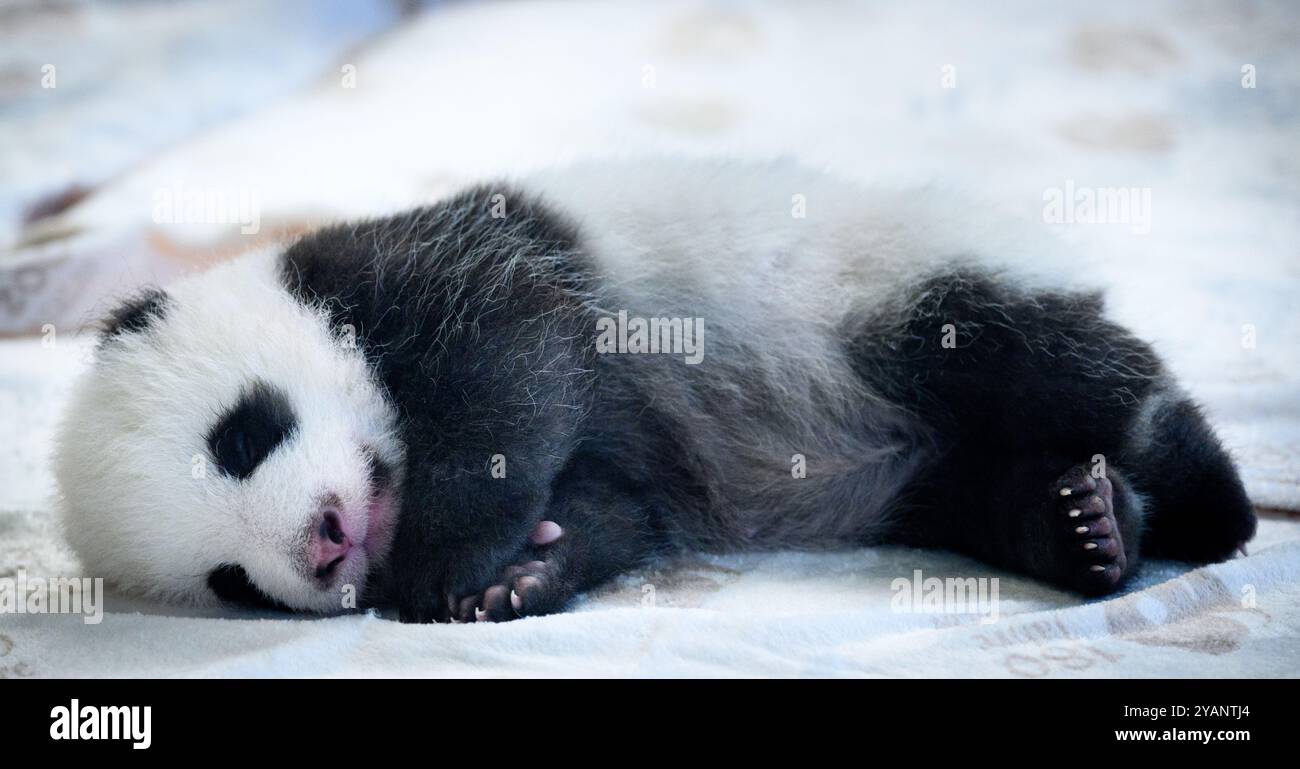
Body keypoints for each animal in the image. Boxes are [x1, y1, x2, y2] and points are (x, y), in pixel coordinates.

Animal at [53, 158, 1257, 623]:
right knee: (990, 489)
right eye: (231, 582)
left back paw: (1207, 502)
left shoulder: (431, 266)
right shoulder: (627, 462)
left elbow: (518, 348)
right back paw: (1089, 525)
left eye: (241, 437)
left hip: (889, 290)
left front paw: (445, 568)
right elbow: (611, 507)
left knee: (1046, 365)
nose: (325, 546)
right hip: (924, 479)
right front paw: (519, 576)